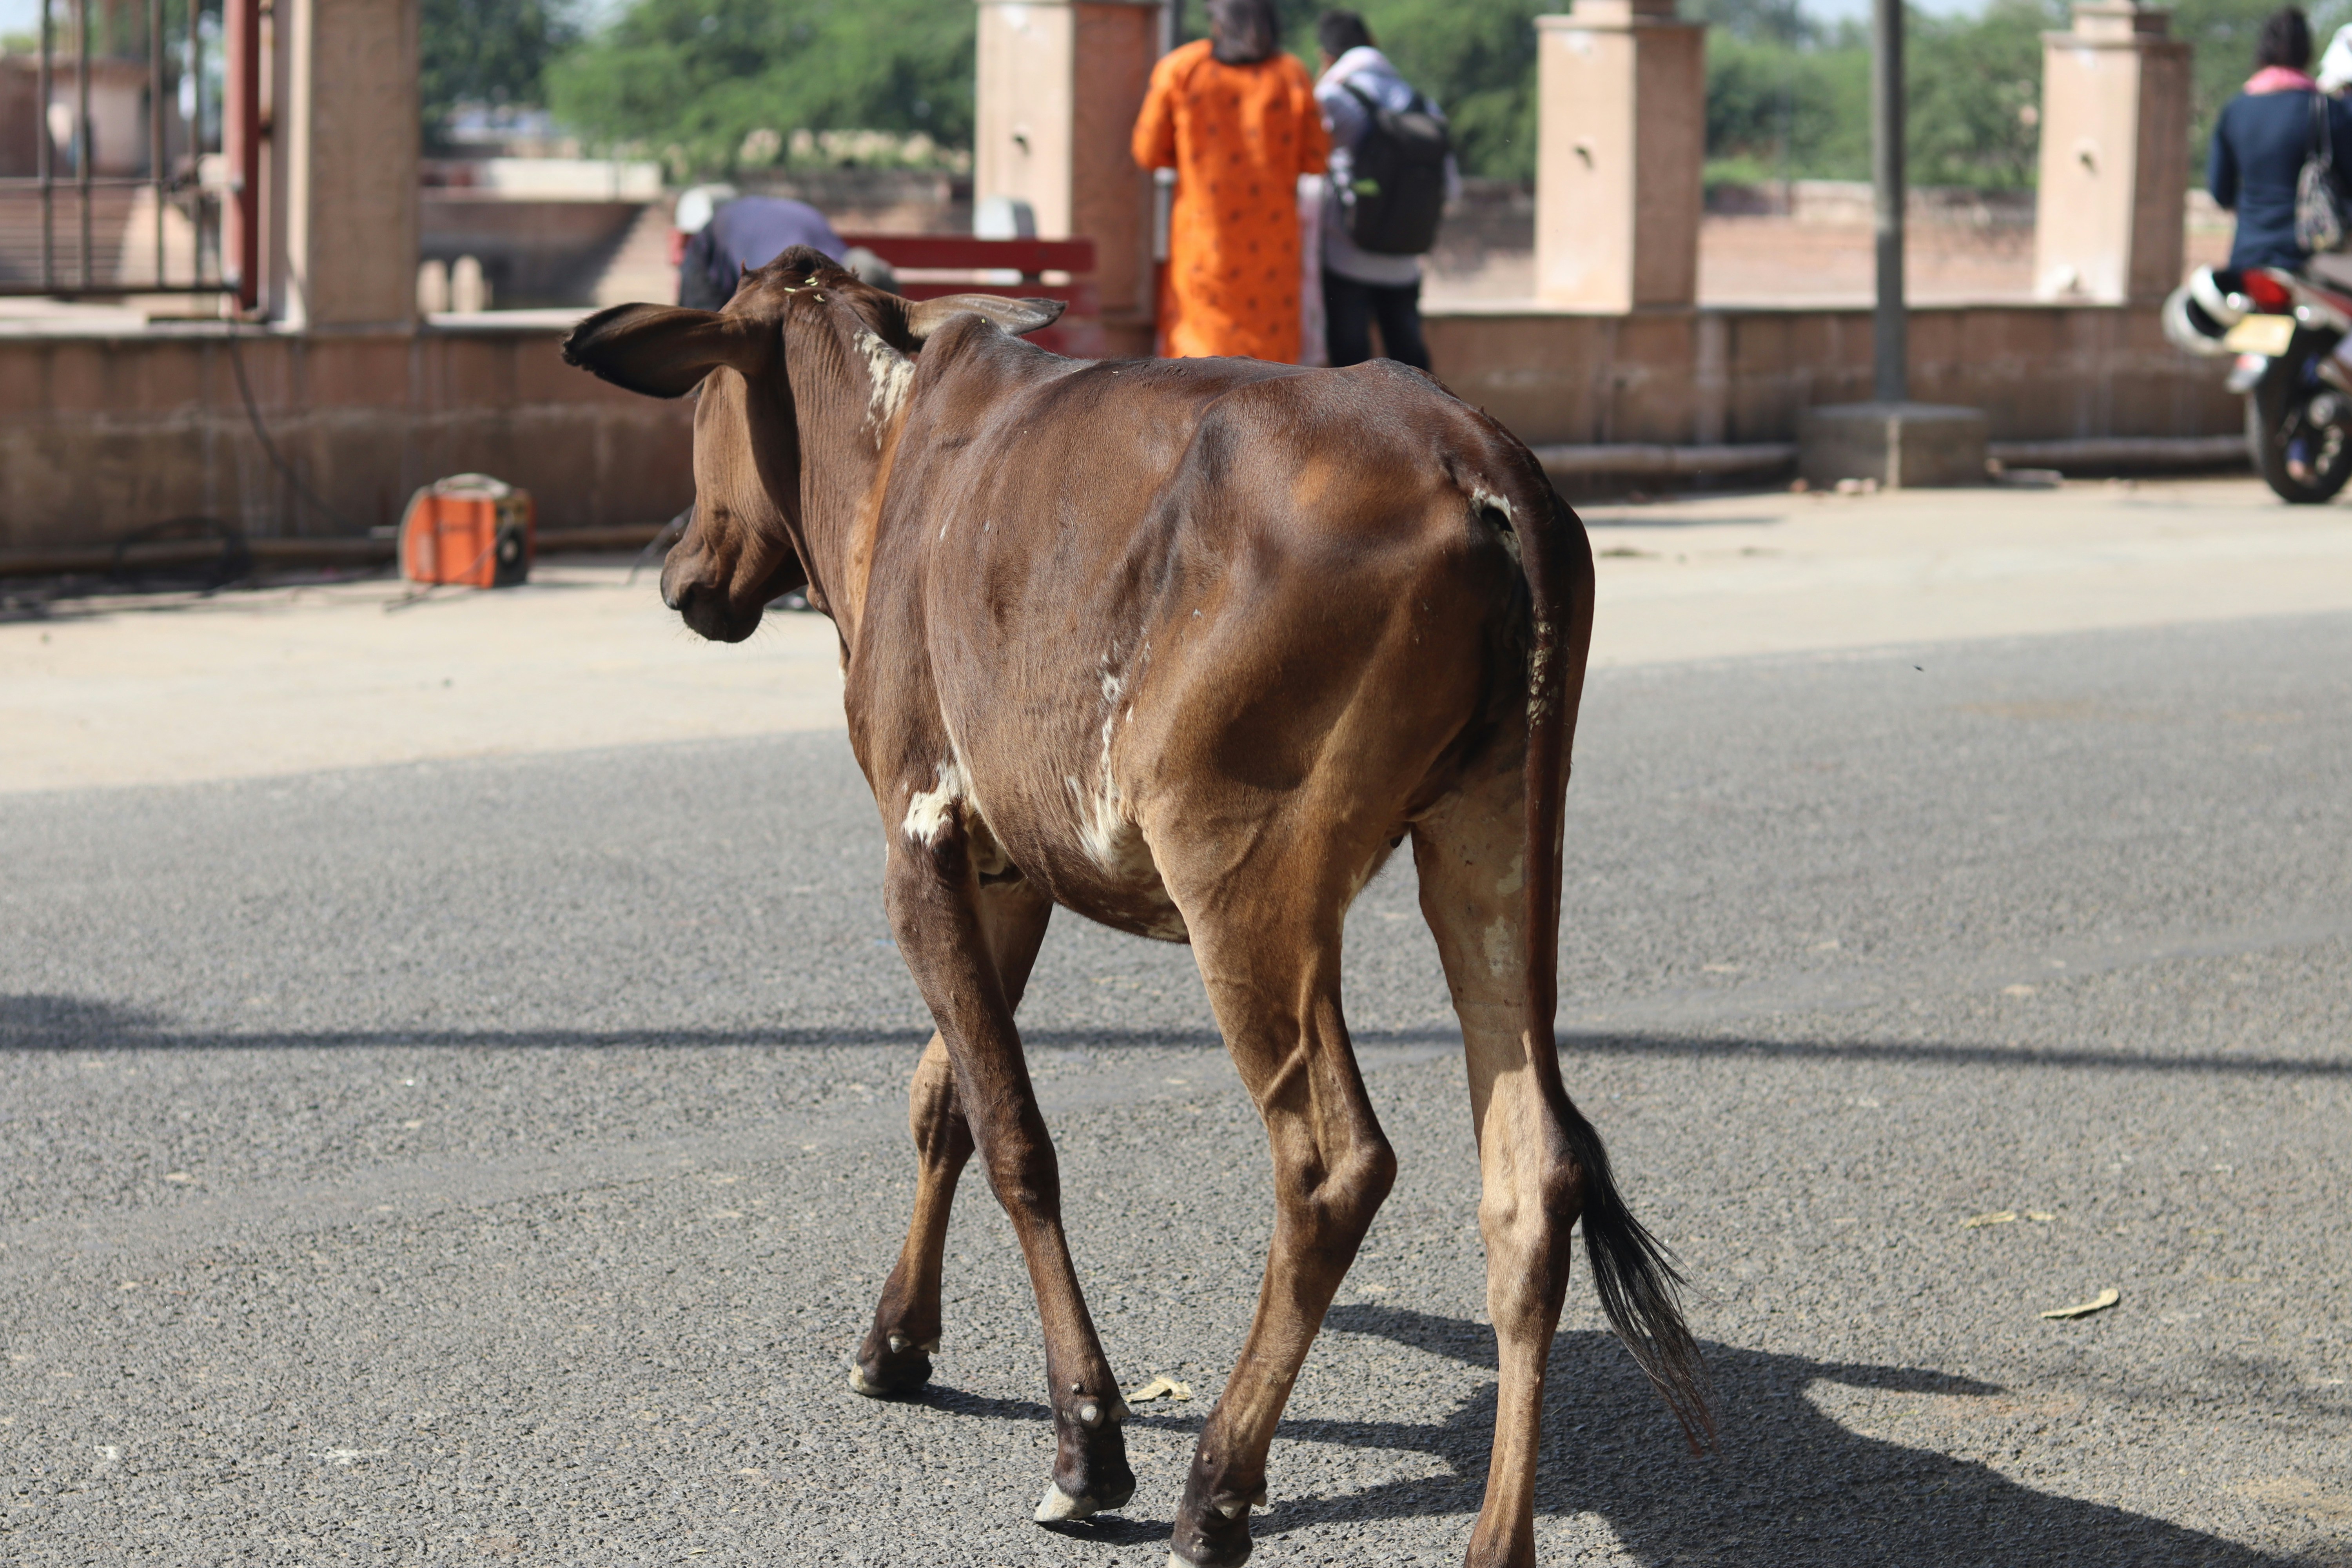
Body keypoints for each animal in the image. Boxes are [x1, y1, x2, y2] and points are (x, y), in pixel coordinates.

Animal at [563, 247, 1709, 1568]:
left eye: (702, 400)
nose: (683, 573)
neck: (893, 444)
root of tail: (1471, 459)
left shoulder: (916, 840)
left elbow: (1013, 1136)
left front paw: (1087, 1438)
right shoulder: (1001, 866)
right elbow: (945, 1103)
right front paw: (898, 1338)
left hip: (1244, 877)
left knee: (1331, 1166)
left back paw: (1216, 1486)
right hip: (1497, 837)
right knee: (1536, 1176)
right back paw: (1486, 1538)